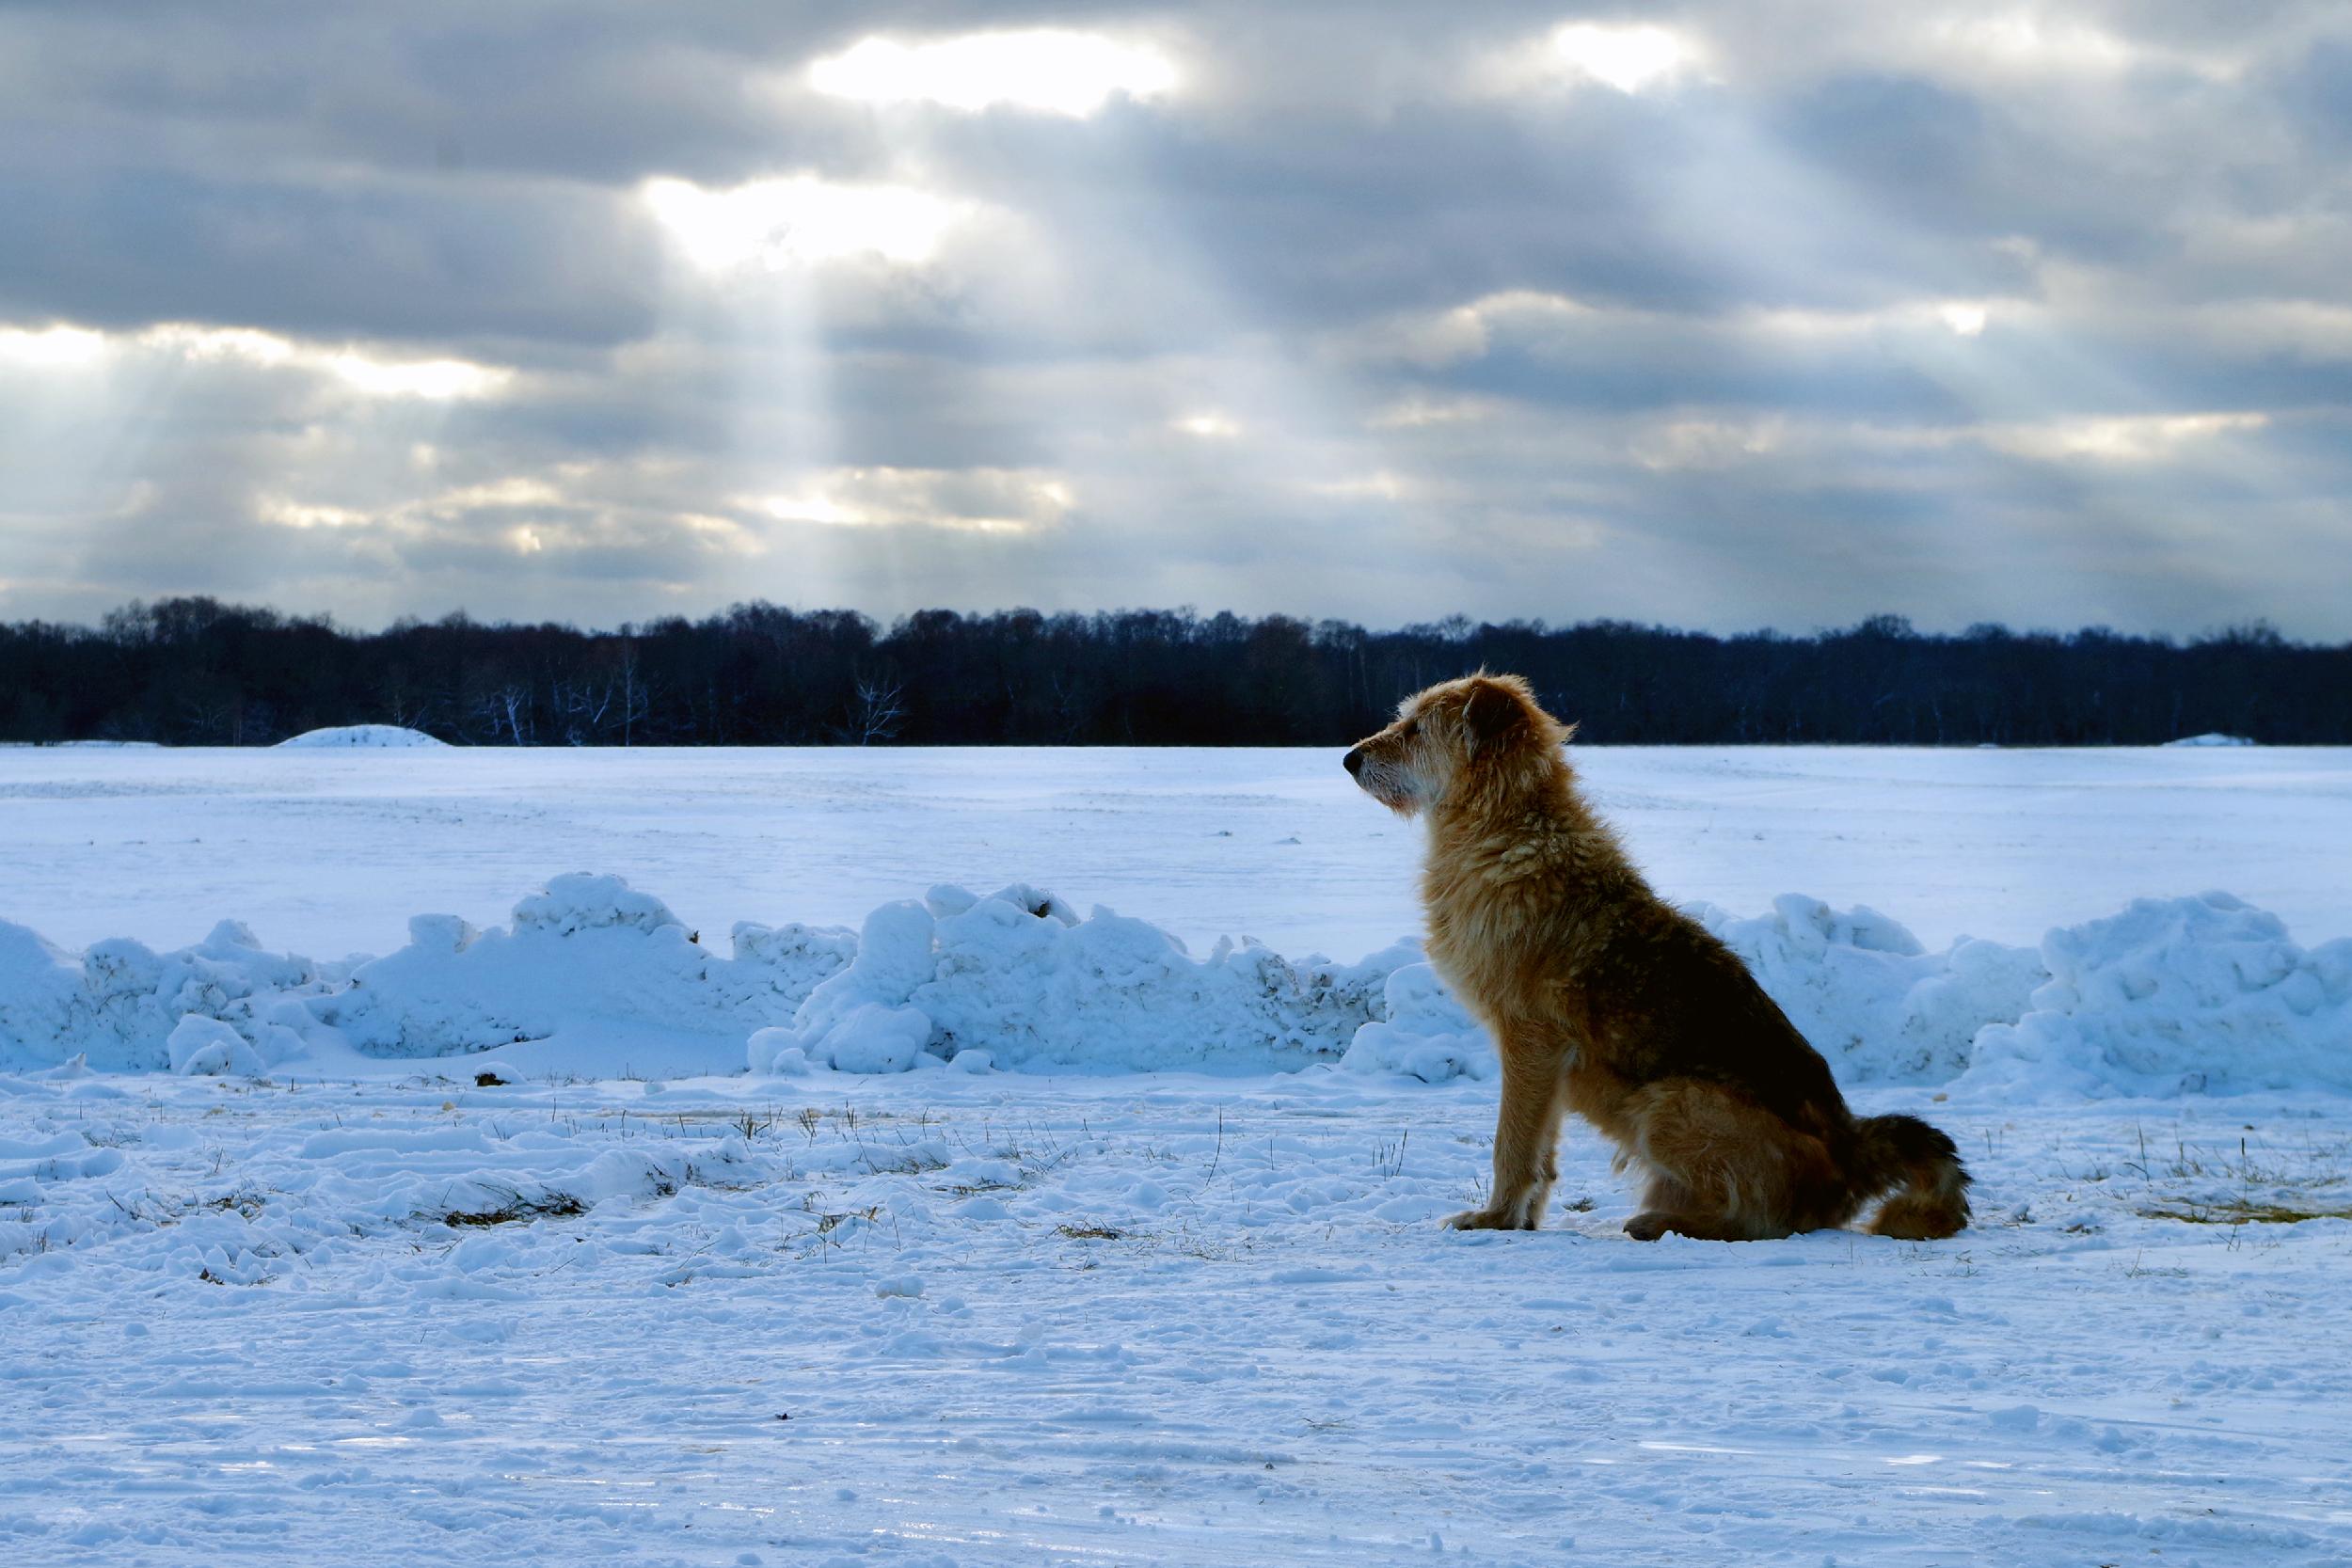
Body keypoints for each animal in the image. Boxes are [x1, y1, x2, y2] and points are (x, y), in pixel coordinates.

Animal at [1345, 672, 1966, 1241]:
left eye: (1416, 728)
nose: (1348, 759)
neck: (1508, 832)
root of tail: (1849, 1149)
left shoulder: (1529, 1040)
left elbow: (1512, 1144)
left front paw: (1493, 1219)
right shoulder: (1546, 1064)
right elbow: (1541, 1151)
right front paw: (1522, 1221)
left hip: (1667, 1103)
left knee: (1763, 1219)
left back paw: (1663, 1222)